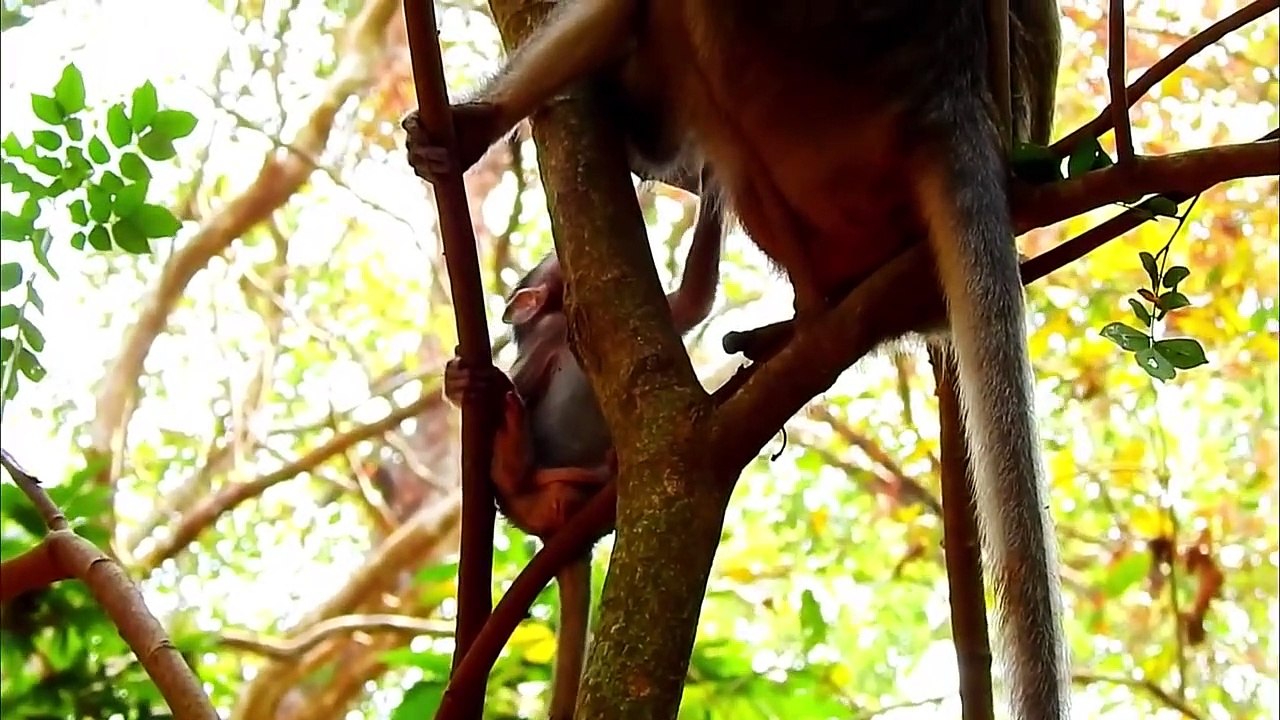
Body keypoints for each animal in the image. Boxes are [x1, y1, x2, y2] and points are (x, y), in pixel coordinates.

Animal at [442, 181, 723, 720]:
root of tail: (555, 532)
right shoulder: (547, 336)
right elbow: (515, 381)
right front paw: (461, 386)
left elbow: (692, 302)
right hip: (526, 501)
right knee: (510, 443)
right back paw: (510, 454)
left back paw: (603, 472)